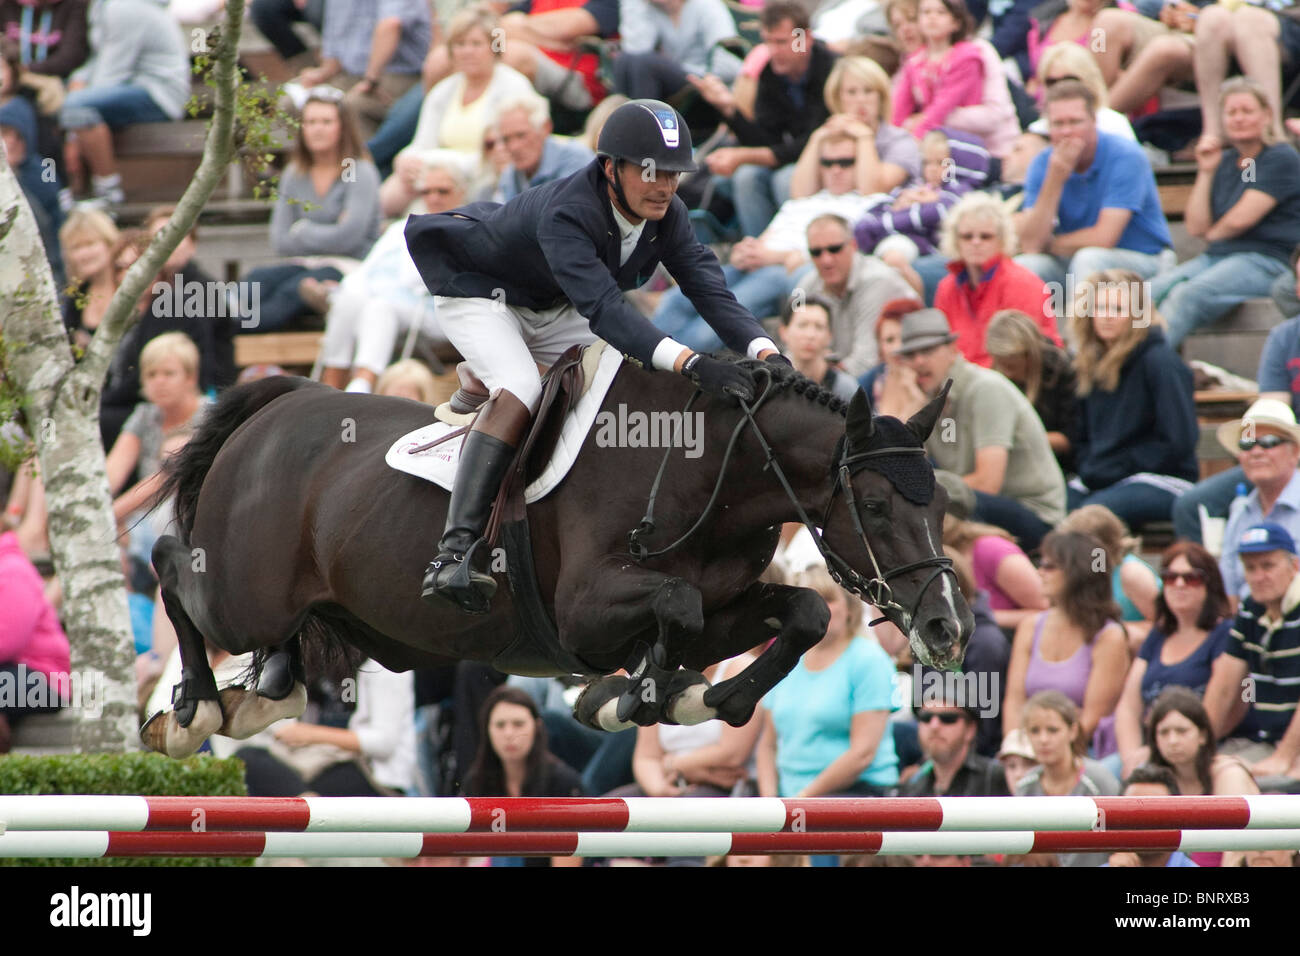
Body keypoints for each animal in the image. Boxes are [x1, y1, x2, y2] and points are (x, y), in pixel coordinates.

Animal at [141, 357, 974, 757]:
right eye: (875, 507)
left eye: (940, 506)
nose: (947, 629)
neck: (706, 468)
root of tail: (274, 404)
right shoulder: (584, 615)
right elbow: (676, 606)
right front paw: (639, 695)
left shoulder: (725, 607)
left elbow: (799, 612)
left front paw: (705, 699)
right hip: (246, 595)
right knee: (171, 563)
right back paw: (191, 707)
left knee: (276, 653)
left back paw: (261, 695)